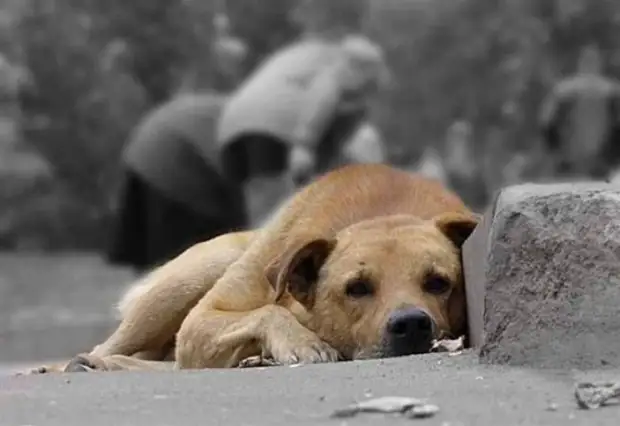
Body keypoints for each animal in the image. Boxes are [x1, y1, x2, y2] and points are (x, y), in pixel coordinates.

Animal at [29, 163, 480, 372]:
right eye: (357, 288)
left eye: (439, 282)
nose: (412, 324)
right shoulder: (202, 321)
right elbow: (268, 311)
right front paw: (302, 342)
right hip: (191, 279)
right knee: (111, 348)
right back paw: (79, 363)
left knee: (168, 364)